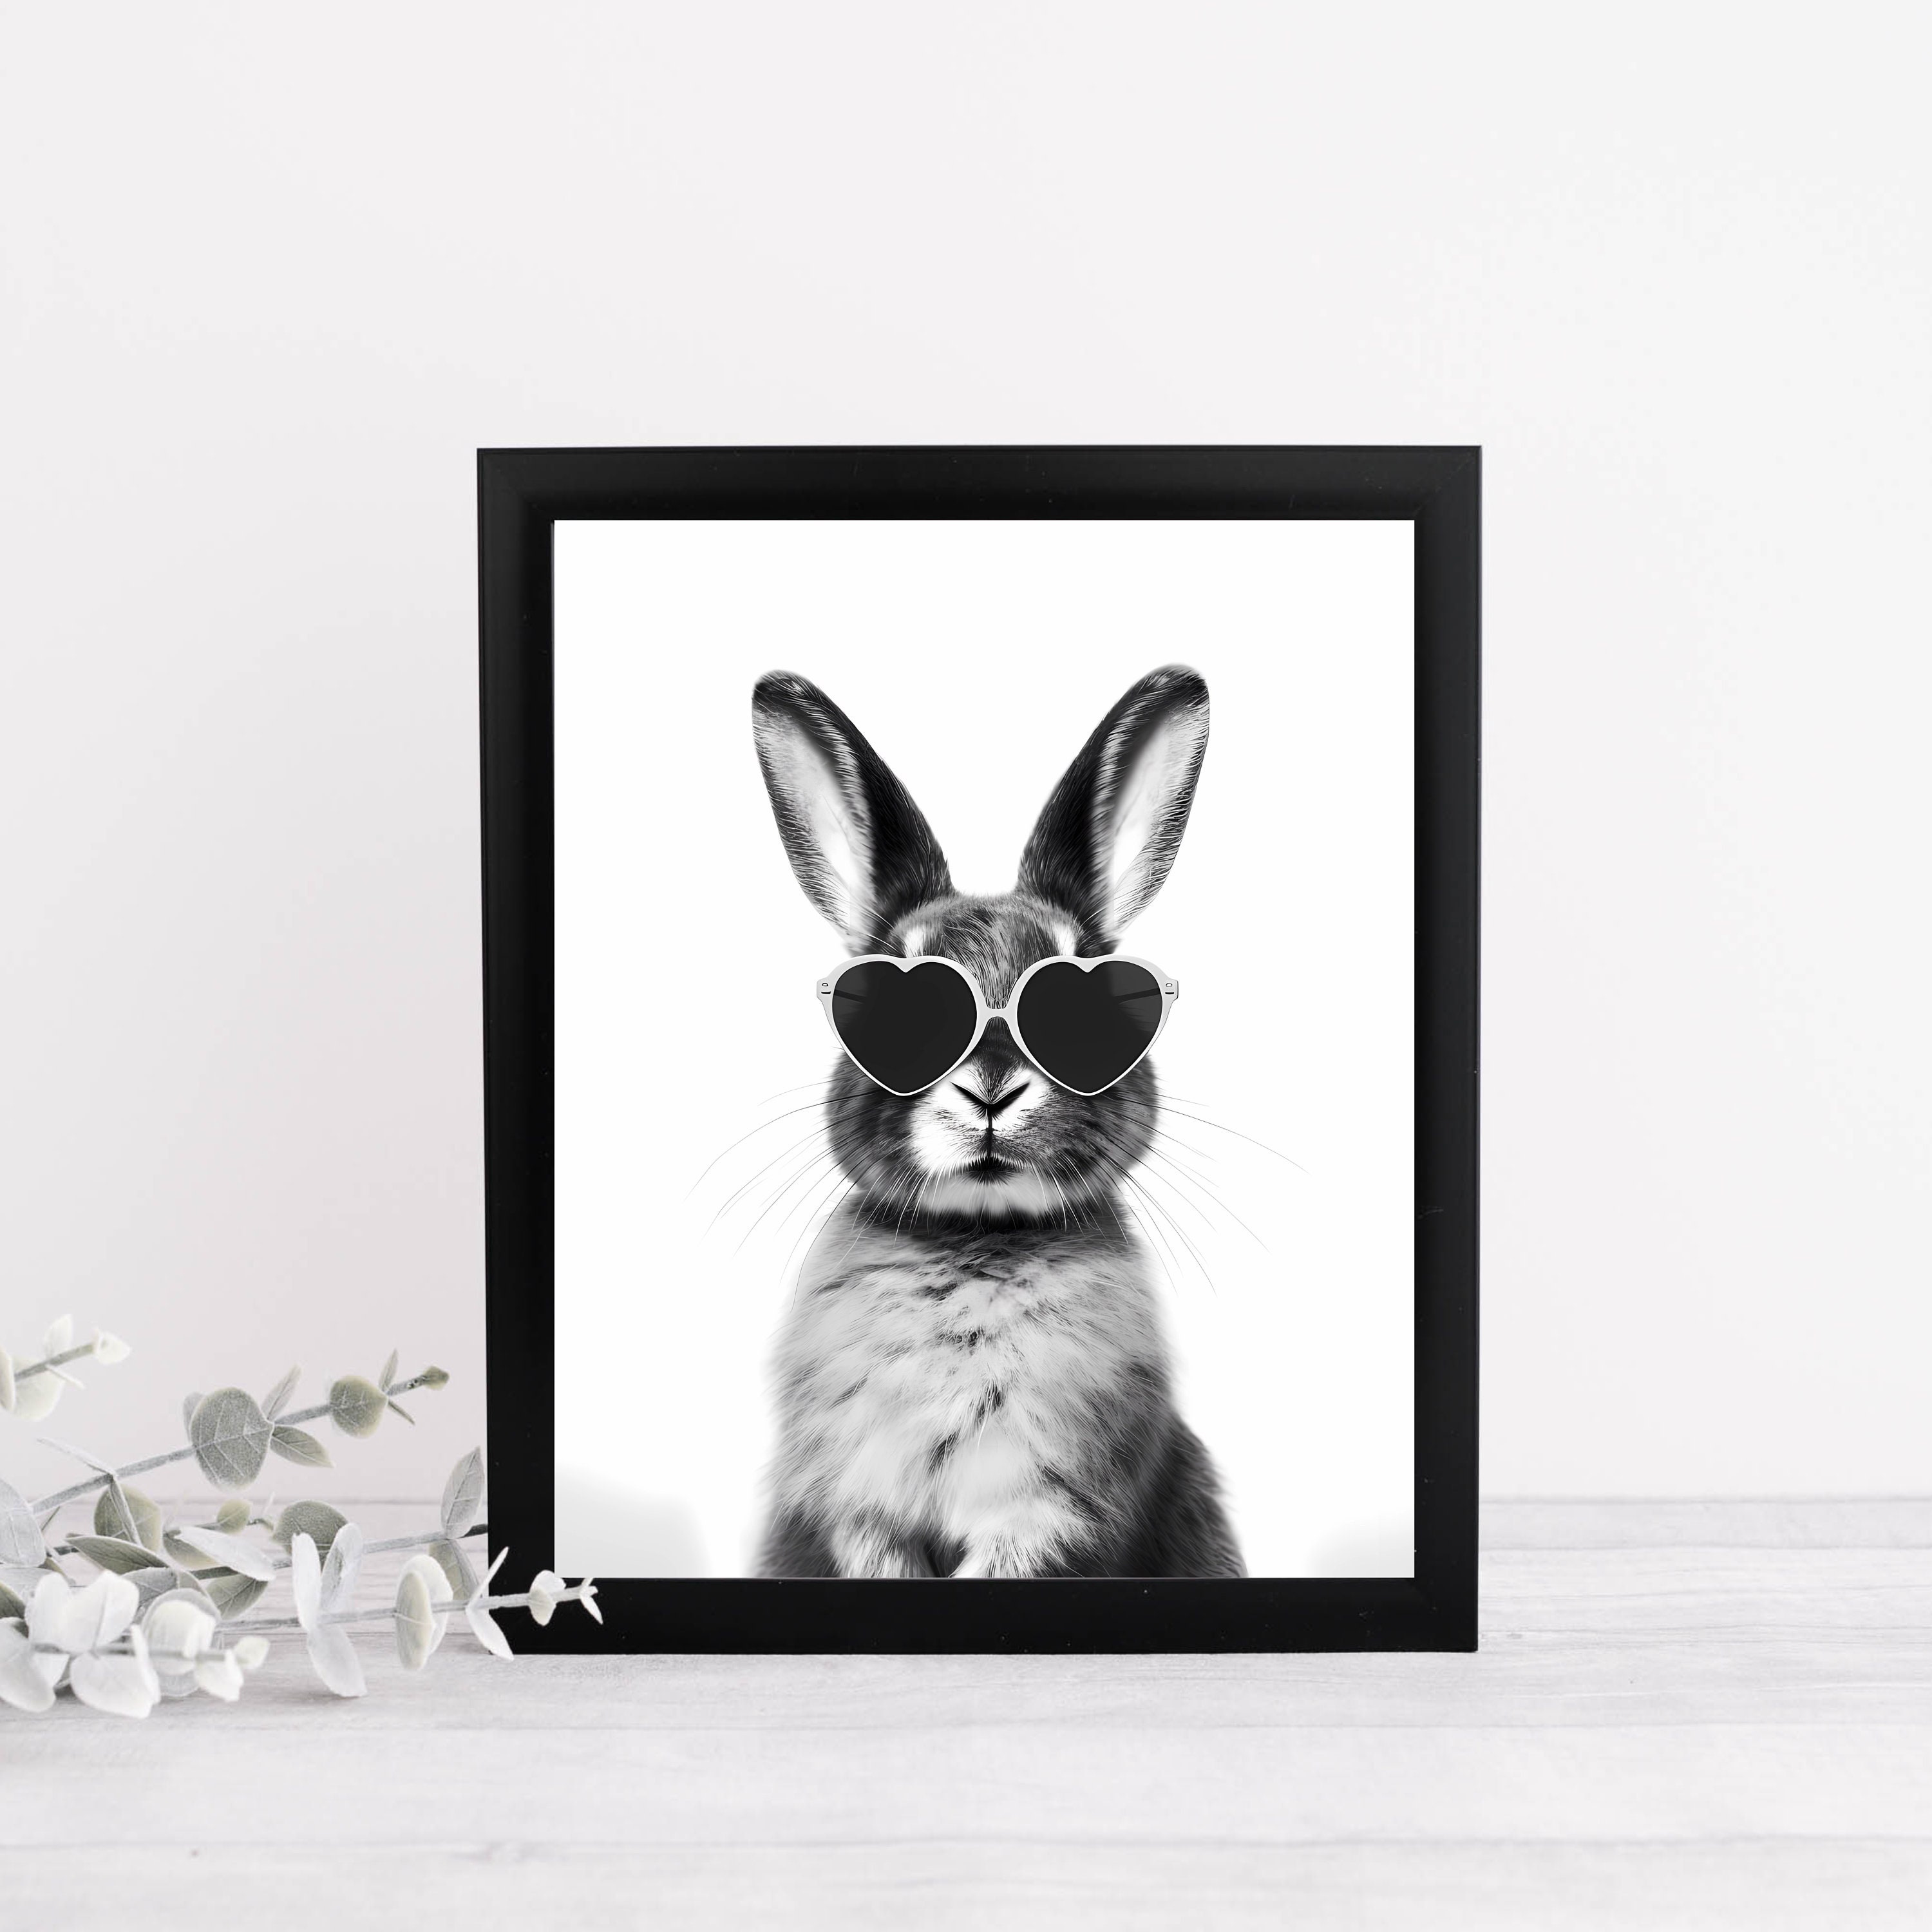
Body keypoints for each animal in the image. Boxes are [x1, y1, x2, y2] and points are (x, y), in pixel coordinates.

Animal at [748, 665, 1243, 1579]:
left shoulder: (1055, 1510)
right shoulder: (862, 1509)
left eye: (1087, 1005)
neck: (978, 1238)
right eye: (893, 1009)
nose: (989, 1090)